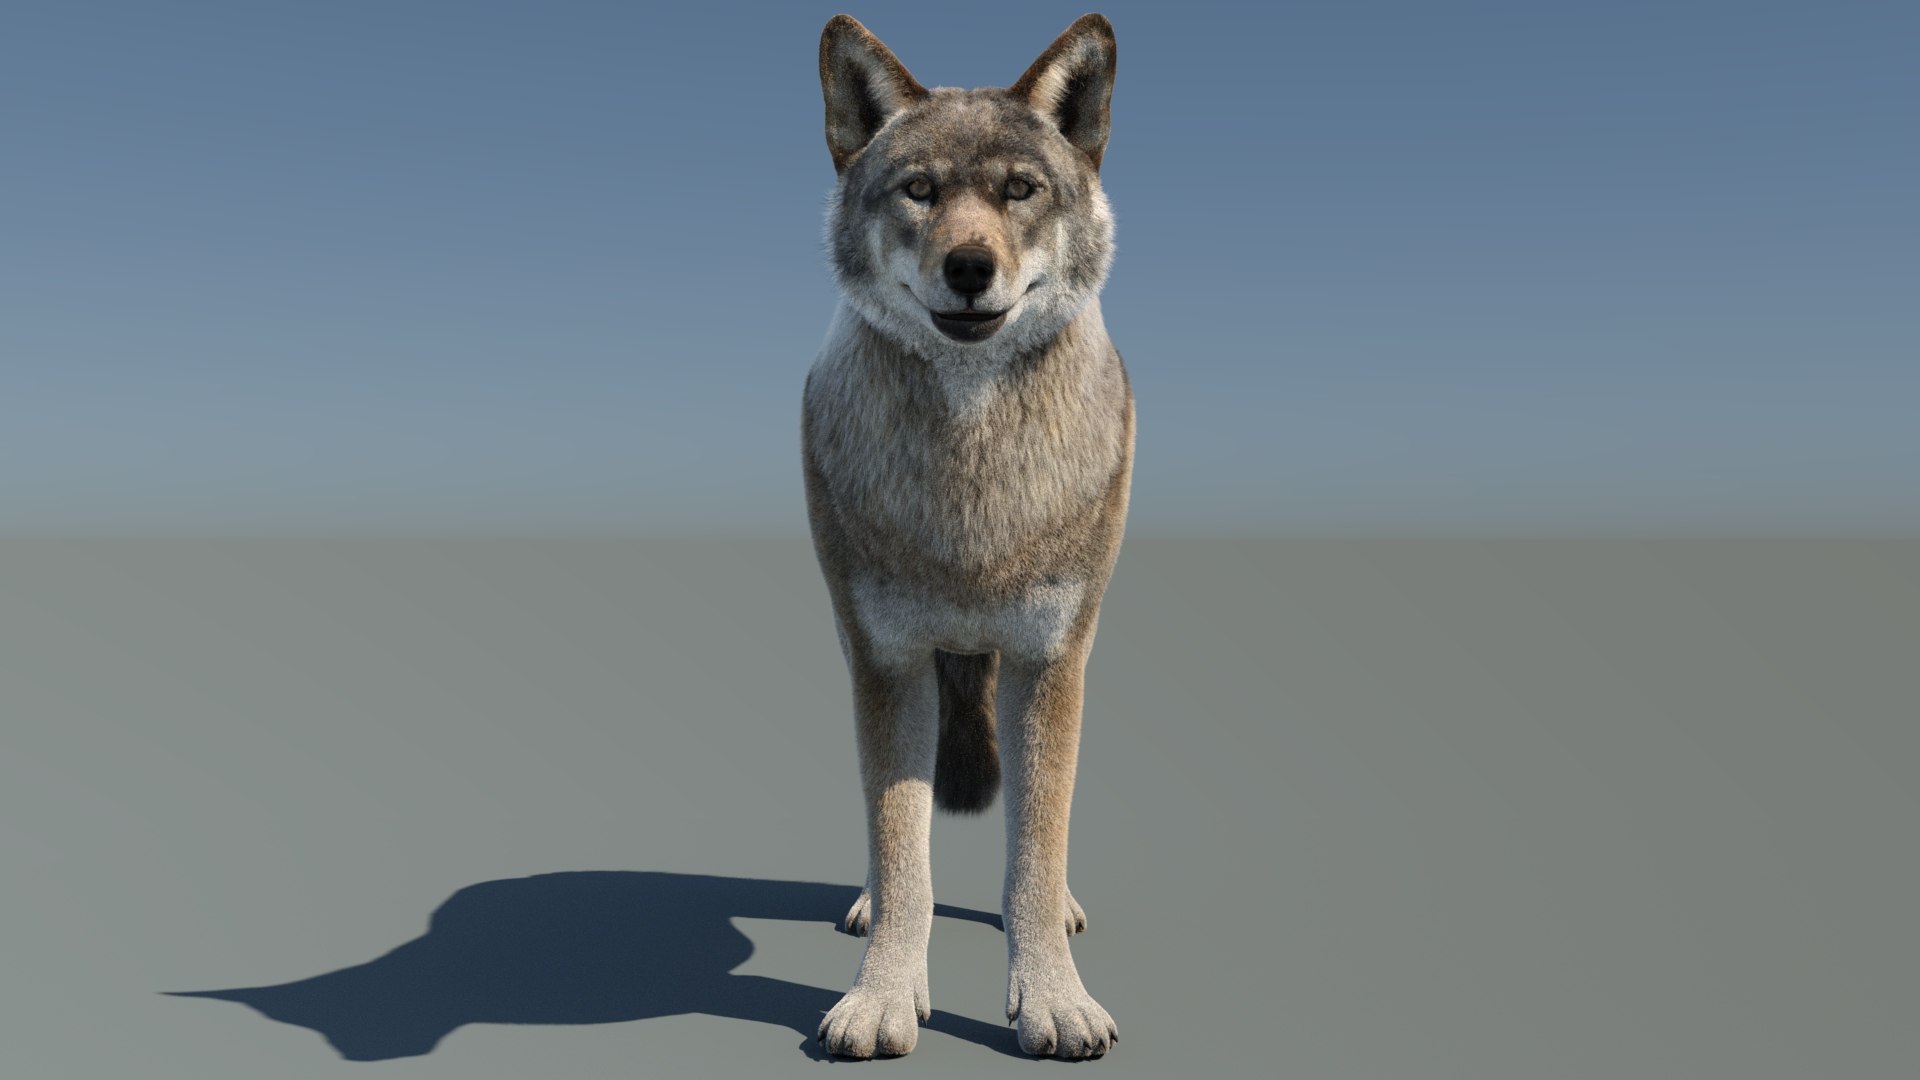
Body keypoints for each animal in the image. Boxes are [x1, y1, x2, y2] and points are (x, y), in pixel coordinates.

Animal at [801, 13, 1131, 1060]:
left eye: (1020, 190)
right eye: (921, 190)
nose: (970, 267)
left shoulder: (1050, 663)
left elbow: (1034, 844)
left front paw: (1055, 1001)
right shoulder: (886, 662)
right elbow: (903, 844)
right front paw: (880, 999)